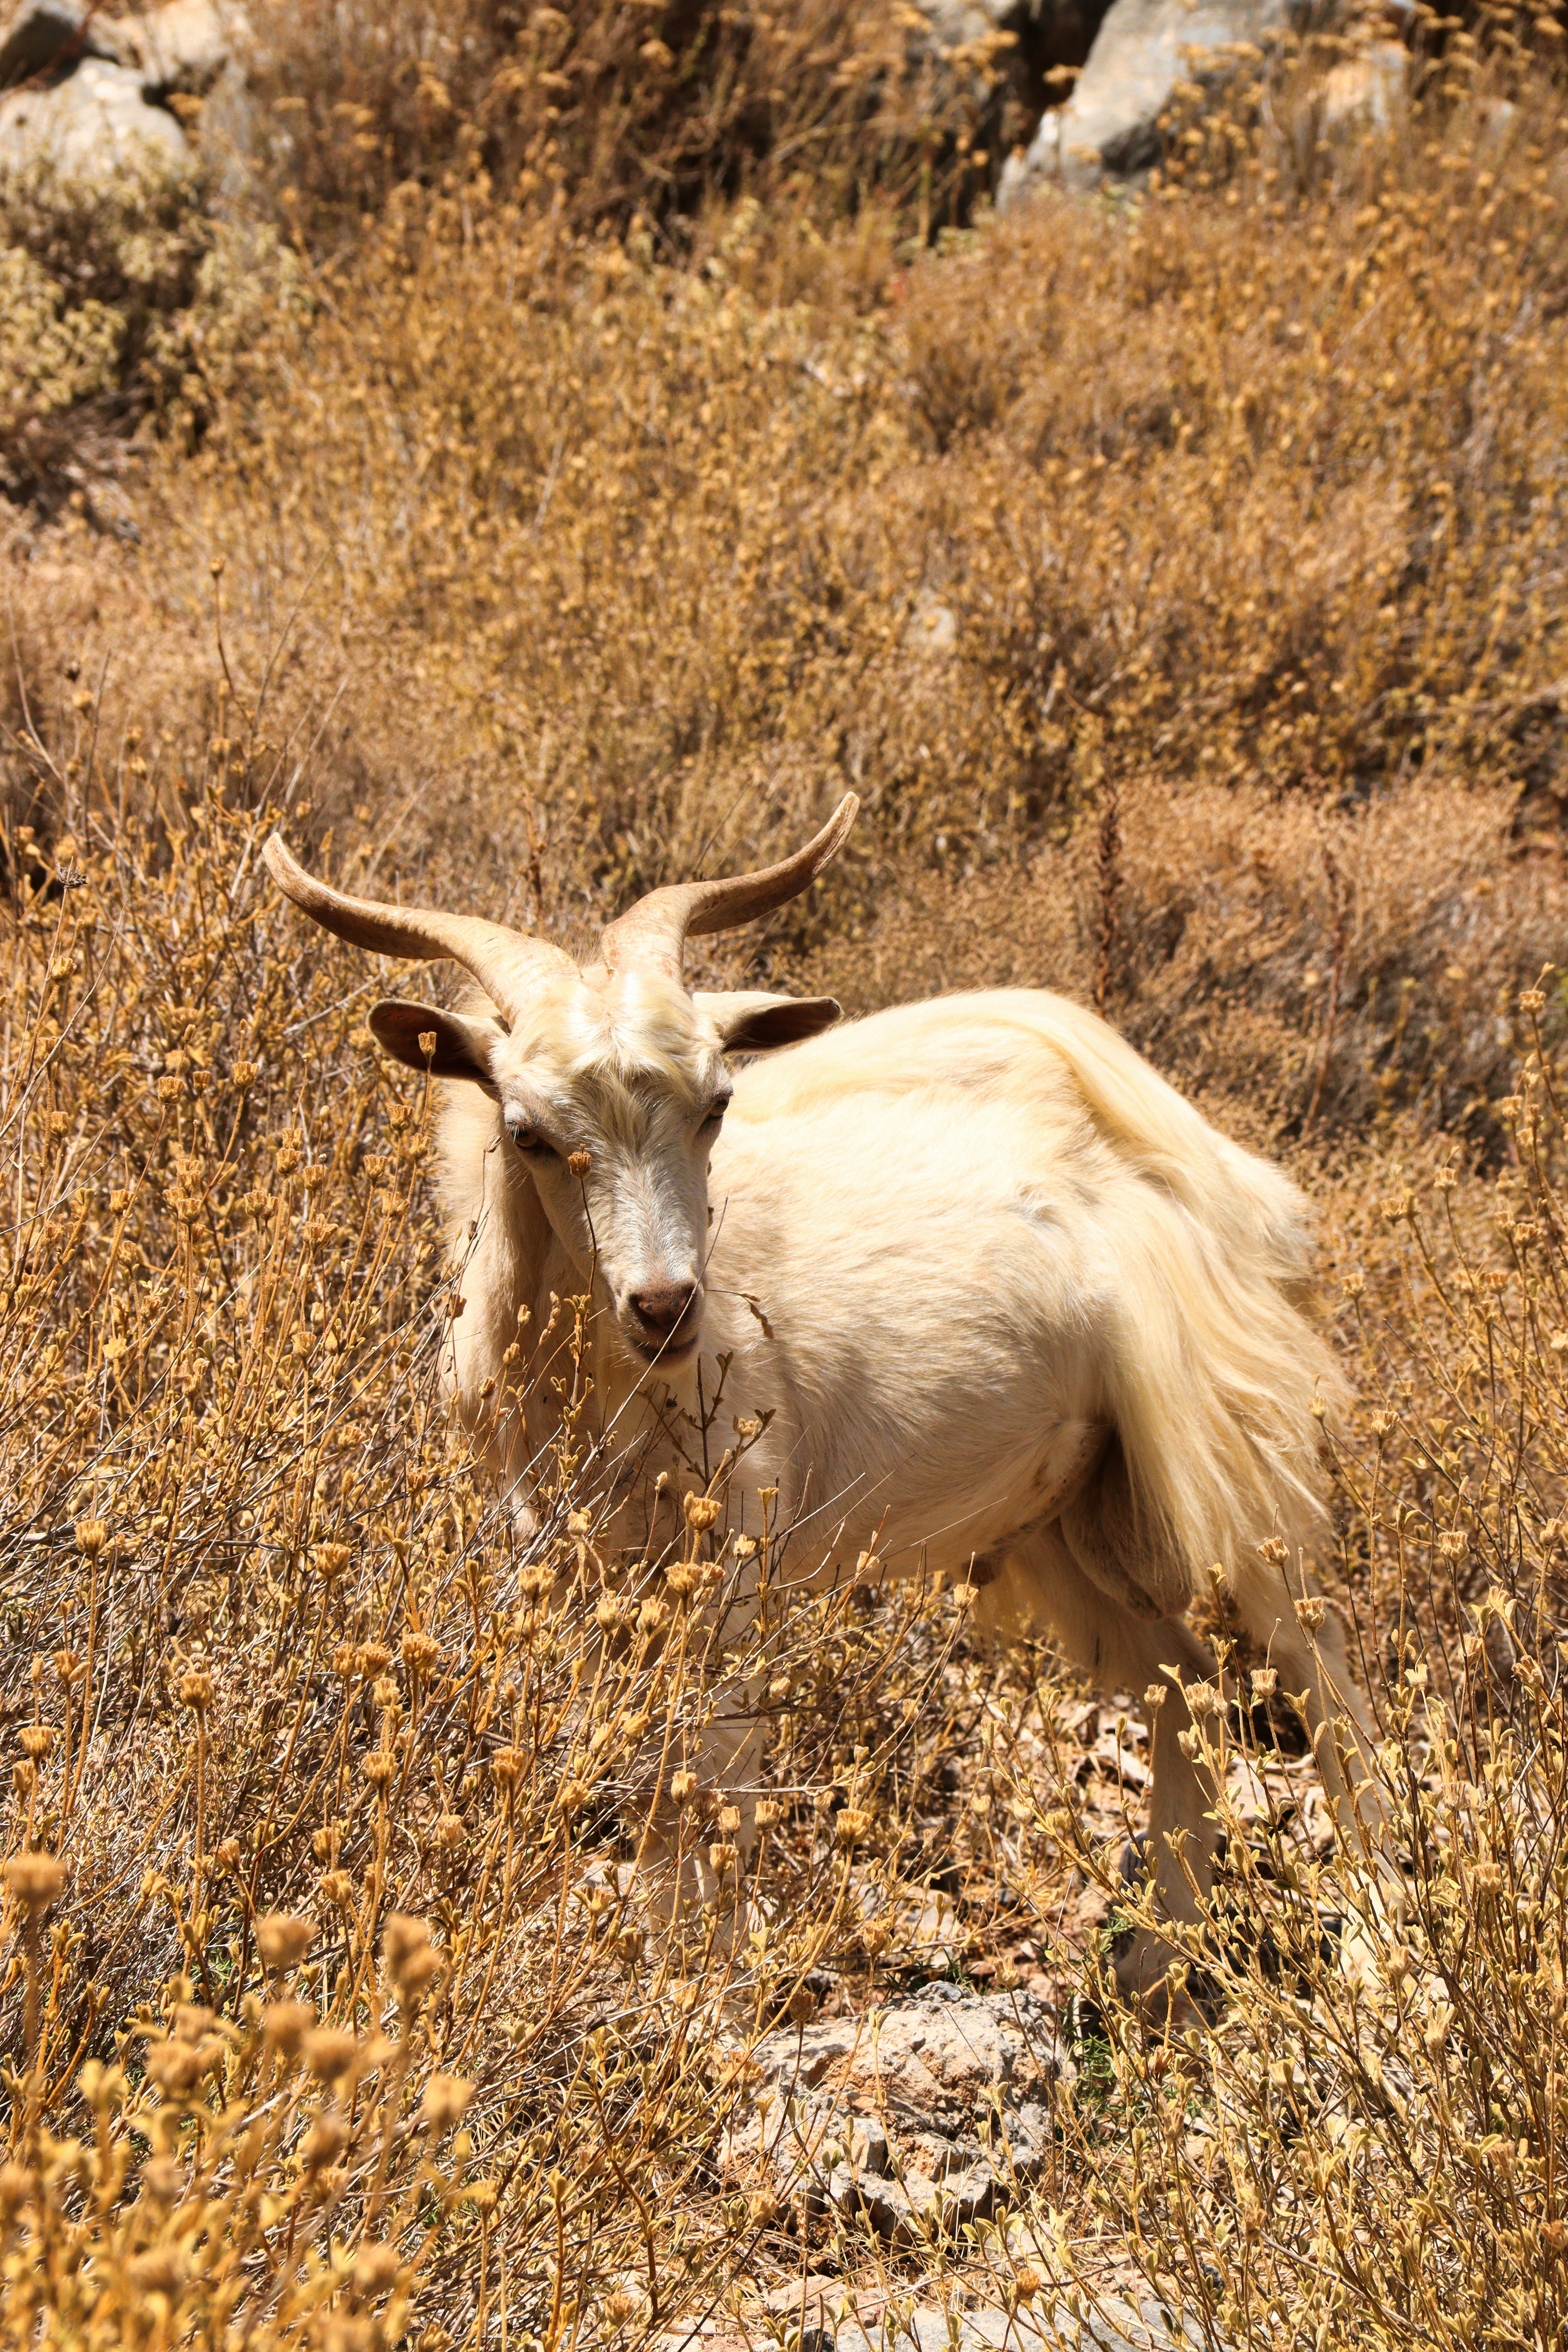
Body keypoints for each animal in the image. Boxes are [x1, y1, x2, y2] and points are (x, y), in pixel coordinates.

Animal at [263, 802, 1389, 1999]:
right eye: (527, 1130)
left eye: (715, 1104)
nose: (666, 1304)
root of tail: (1219, 1170)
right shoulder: (576, 1561)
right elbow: (648, 1760)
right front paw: (664, 1969)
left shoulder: (732, 1548)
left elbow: (712, 1766)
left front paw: (709, 1985)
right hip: (1078, 1513)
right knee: (1187, 1685)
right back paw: (1151, 1966)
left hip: (1228, 1455)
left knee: (1324, 1678)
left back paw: (1378, 1949)